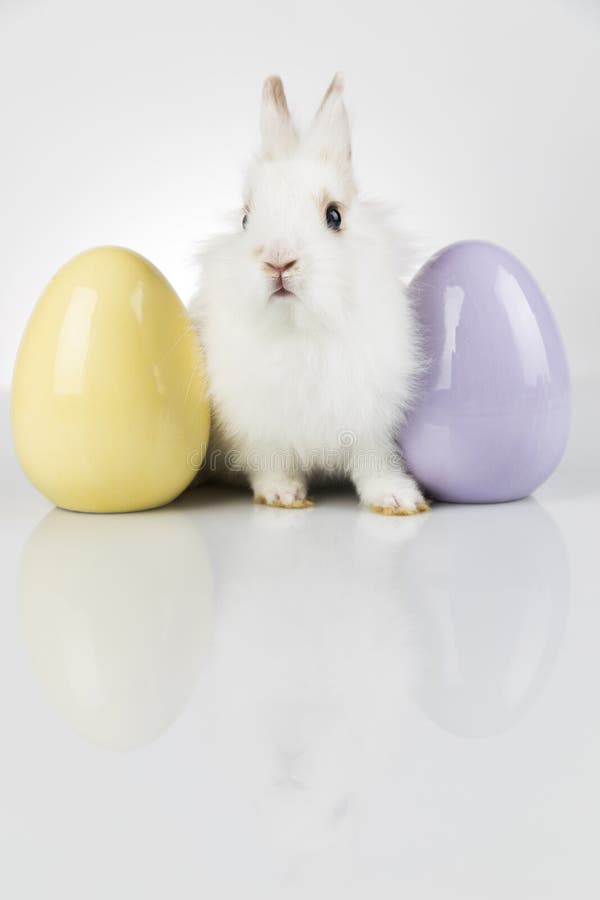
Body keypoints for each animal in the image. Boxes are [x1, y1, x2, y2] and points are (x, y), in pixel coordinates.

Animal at [189, 73, 429, 516]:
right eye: (245, 219)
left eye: (334, 215)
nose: (279, 260)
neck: (300, 332)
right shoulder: (259, 430)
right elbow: (271, 464)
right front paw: (283, 495)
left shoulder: (372, 422)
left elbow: (375, 463)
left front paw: (397, 499)